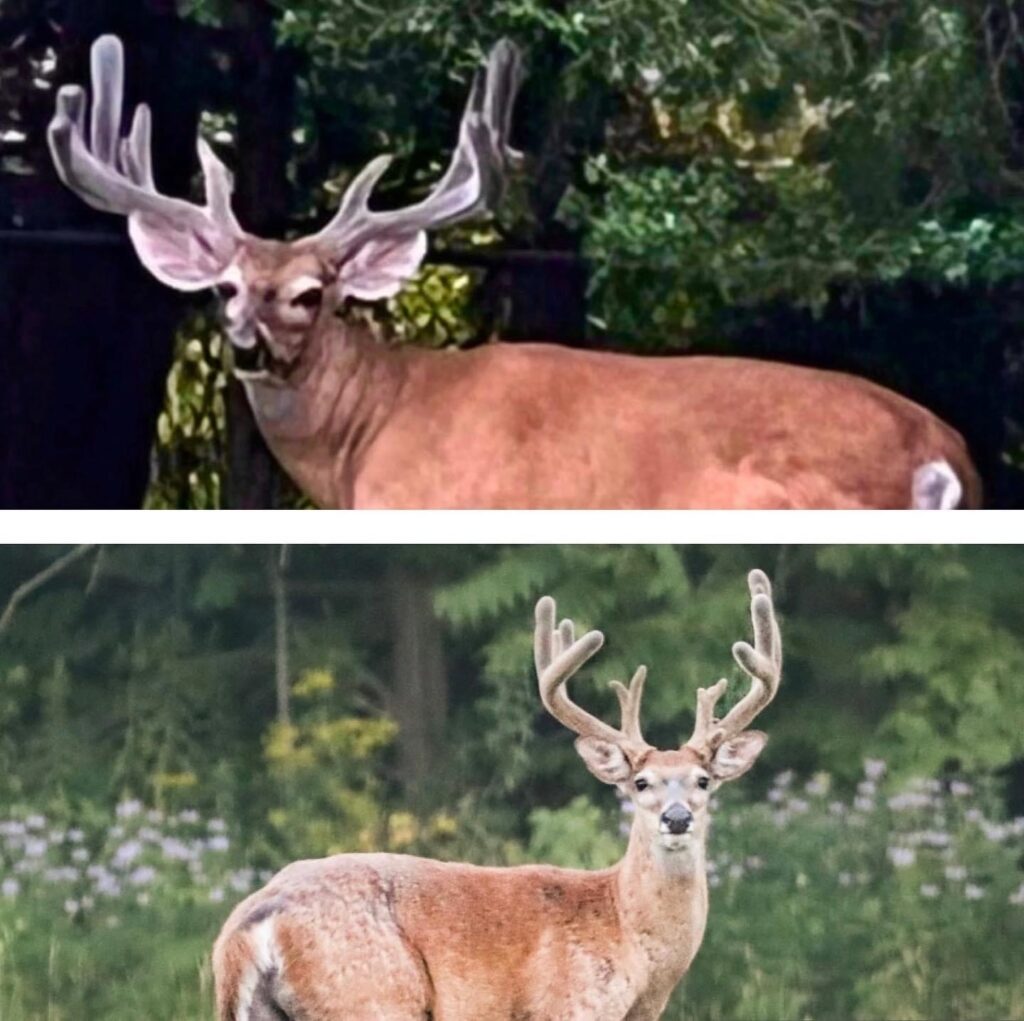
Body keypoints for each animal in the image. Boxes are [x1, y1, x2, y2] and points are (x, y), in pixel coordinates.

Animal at [211, 569, 783, 1021]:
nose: (677, 817)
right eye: (640, 784)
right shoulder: (568, 1007)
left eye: (703, 780)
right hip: (370, 995)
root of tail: (250, 926)